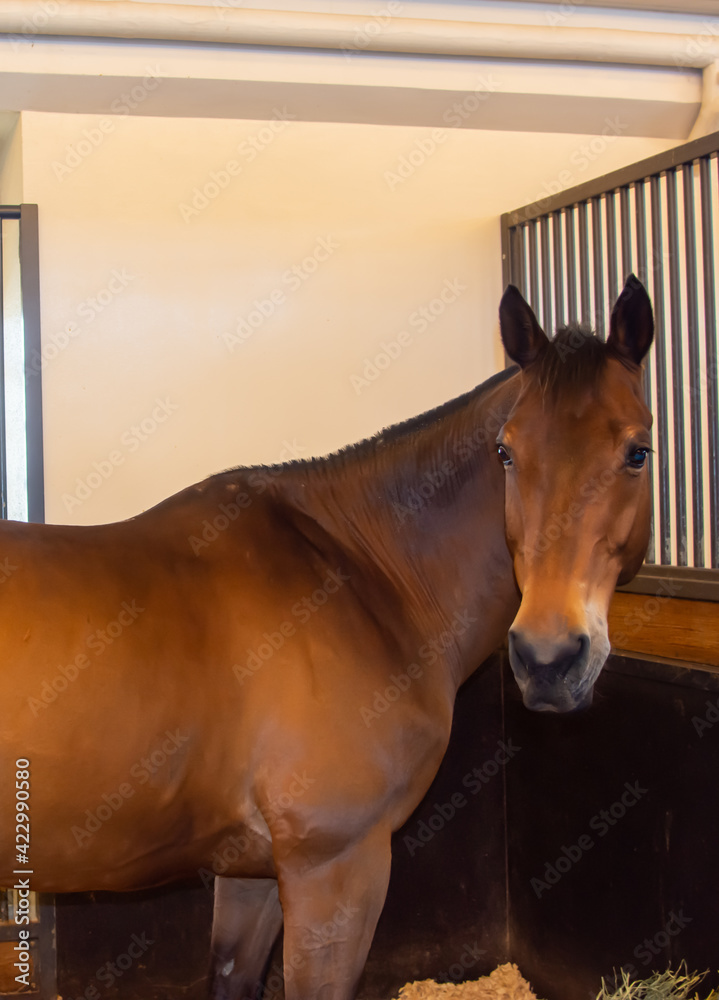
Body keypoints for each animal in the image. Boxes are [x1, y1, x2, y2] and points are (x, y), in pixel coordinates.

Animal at [0, 275, 653, 999]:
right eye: (506, 452)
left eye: (637, 452)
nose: (548, 660)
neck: (363, 573)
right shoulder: (336, 869)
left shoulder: (253, 873)